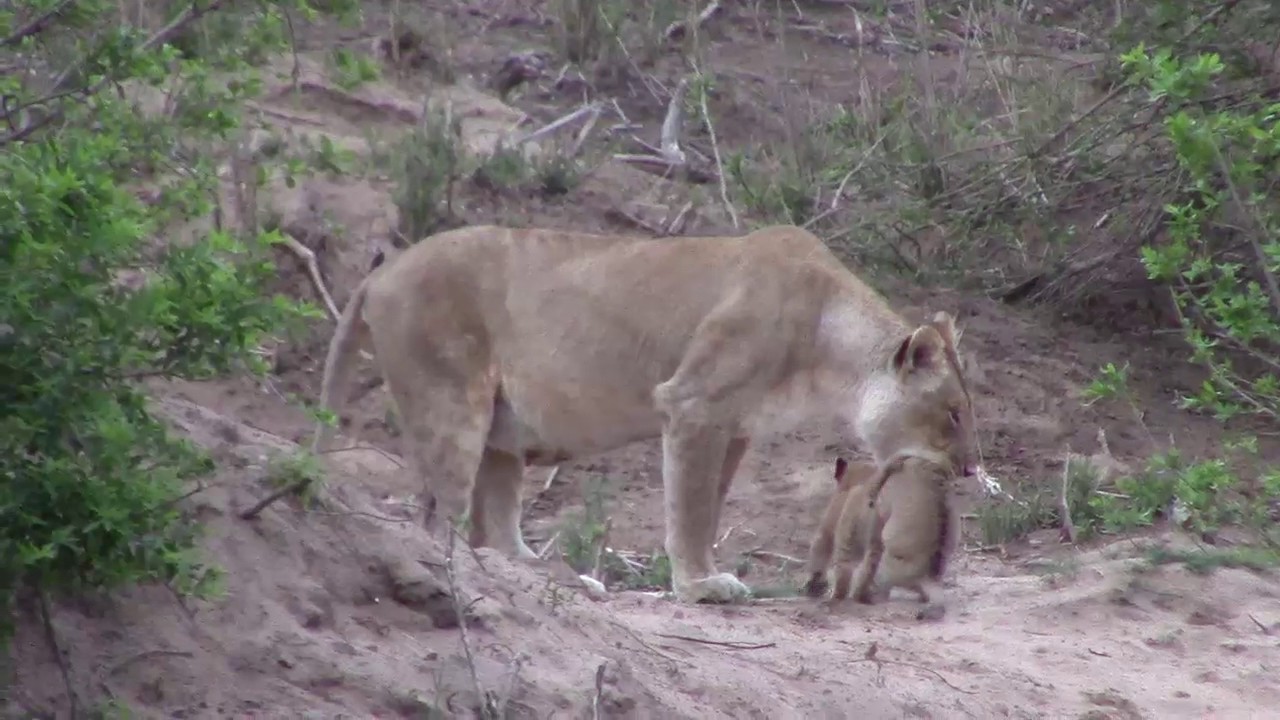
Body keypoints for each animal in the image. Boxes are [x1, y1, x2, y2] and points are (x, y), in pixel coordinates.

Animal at [309, 223, 979, 604]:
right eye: (952, 414)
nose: (971, 470)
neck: (826, 335)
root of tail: (382, 271)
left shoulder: (734, 426)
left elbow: (709, 507)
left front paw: (701, 575)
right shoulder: (694, 404)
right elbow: (689, 507)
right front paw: (701, 587)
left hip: (502, 428)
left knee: (493, 529)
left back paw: (557, 580)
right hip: (452, 401)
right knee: (436, 522)